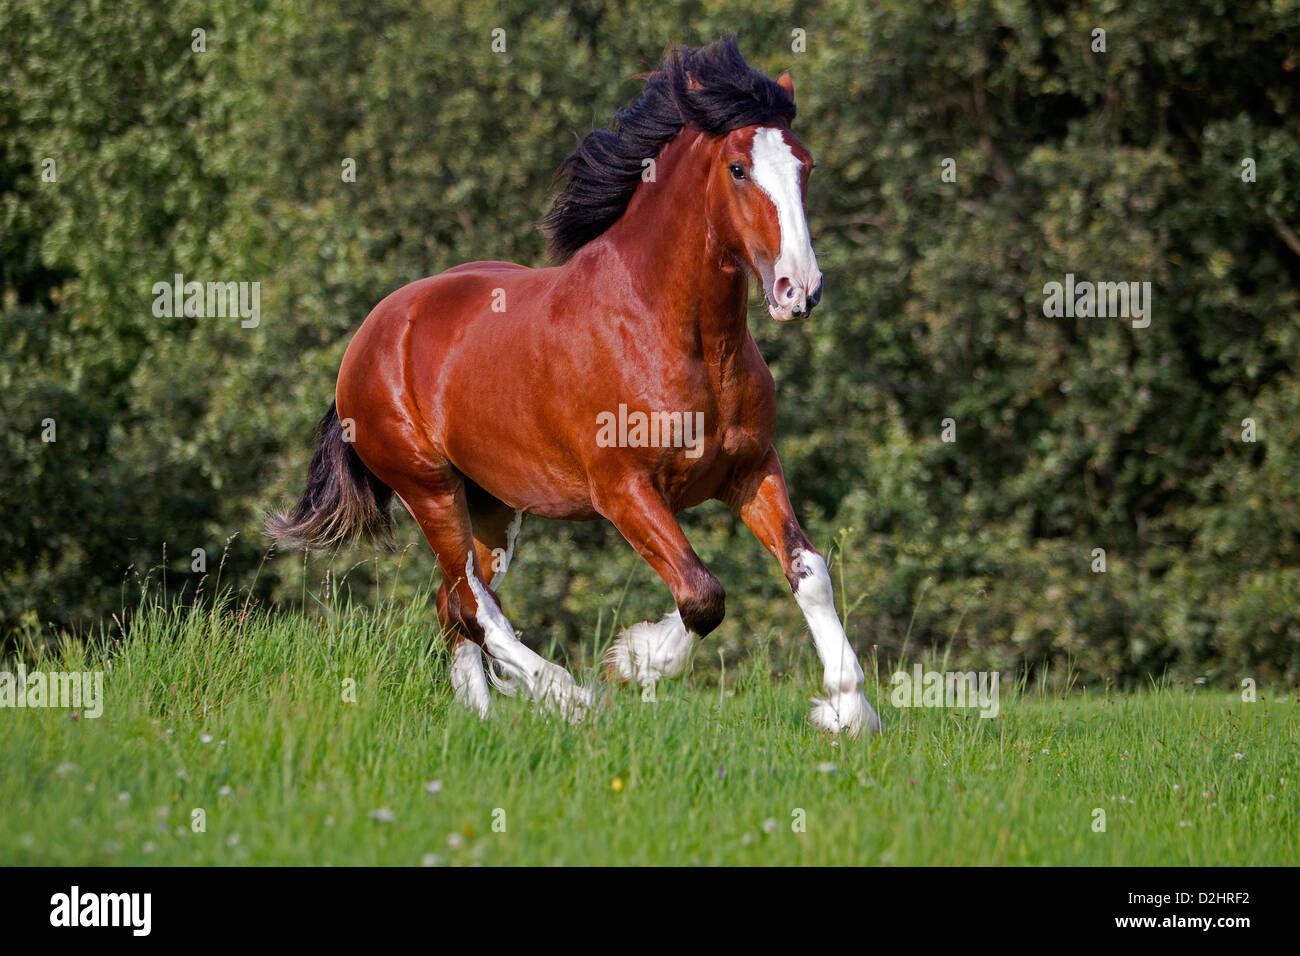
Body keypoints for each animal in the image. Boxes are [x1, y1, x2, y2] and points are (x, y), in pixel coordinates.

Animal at [269, 37, 881, 737]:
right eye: (737, 169)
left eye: (804, 165)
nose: (798, 290)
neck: (678, 335)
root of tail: (373, 333)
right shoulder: (624, 491)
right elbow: (701, 594)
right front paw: (634, 660)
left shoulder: (749, 468)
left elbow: (808, 572)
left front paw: (848, 710)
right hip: (428, 488)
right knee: (472, 605)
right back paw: (566, 697)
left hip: (491, 503)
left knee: (454, 602)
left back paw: (484, 720)